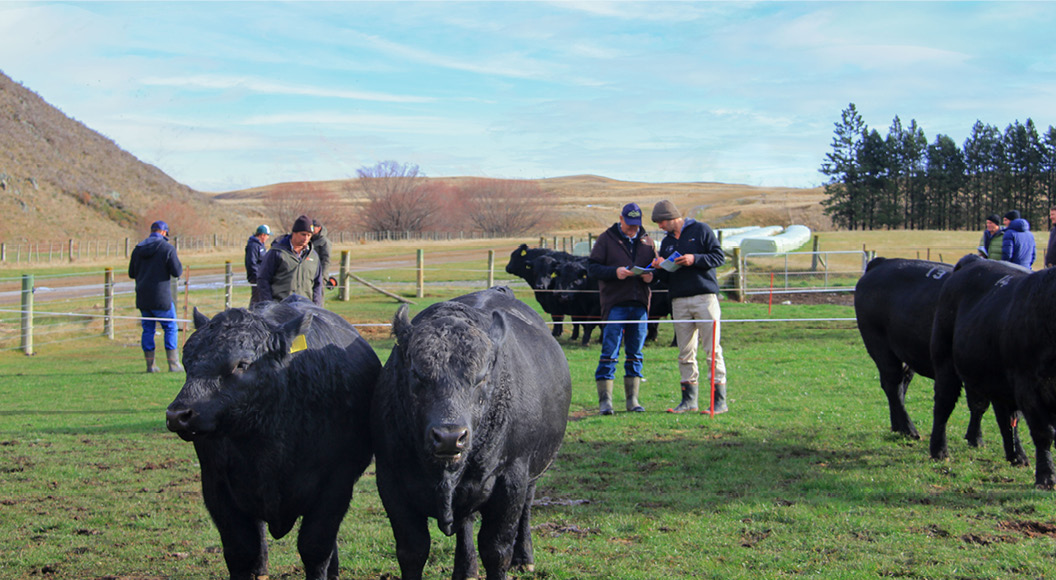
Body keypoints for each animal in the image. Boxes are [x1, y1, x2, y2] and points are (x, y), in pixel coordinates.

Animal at [165, 295, 380, 579]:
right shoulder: (216, 486)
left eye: (242, 364)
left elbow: (315, 548)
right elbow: (242, 552)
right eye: (187, 363)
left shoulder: (336, 483)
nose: (178, 414)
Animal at [371, 286, 572, 580]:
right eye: (417, 374)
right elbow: (412, 551)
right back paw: (465, 569)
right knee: (465, 522)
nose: (449, 436)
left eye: (482, 377)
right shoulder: (390, 481)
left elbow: (496, 550)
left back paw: (524, 557)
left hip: (535, 471)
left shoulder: (511, 479)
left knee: (526, 509)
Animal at [854, 257, 961, 439]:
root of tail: (883, 262)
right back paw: (909, 429)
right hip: (879, 346)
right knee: (892, 383)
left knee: (902, 383)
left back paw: (899, 426)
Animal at [929, 255, 1036, 482]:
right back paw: (939, 451)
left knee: (1000, 416)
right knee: (943, 404)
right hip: (945, 363)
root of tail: (974, 260)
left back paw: (1015, 455)